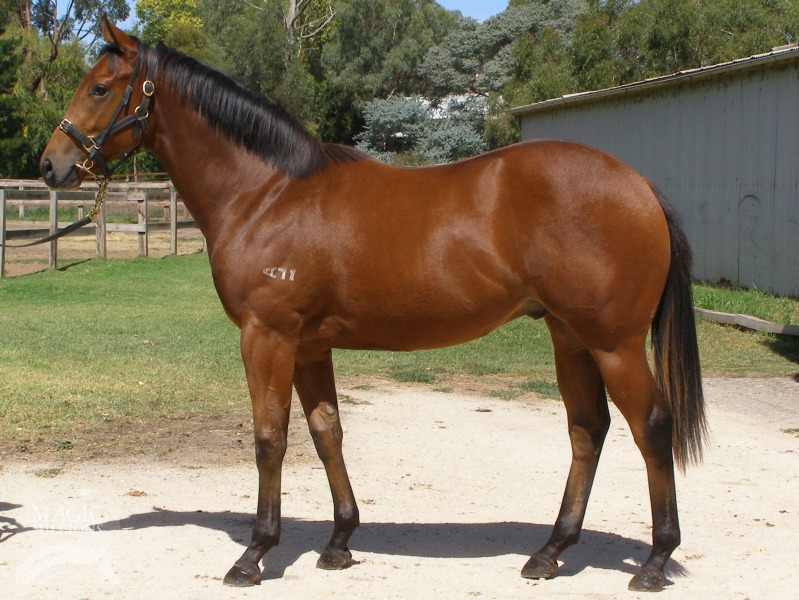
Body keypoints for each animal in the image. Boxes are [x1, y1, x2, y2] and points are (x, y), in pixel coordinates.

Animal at [40, 18, 707, 593]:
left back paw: (654, 561)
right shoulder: (309, 345)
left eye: (100, 87)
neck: (268, 194)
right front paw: (339, 541)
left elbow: (269, 437)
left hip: (614, 343)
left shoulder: (267, 335)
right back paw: (549, 553)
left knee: (652, 427)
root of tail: (640, 186)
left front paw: (255, 553)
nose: (51, 165)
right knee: (587, 430)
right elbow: (326, 432)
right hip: (570, 336)